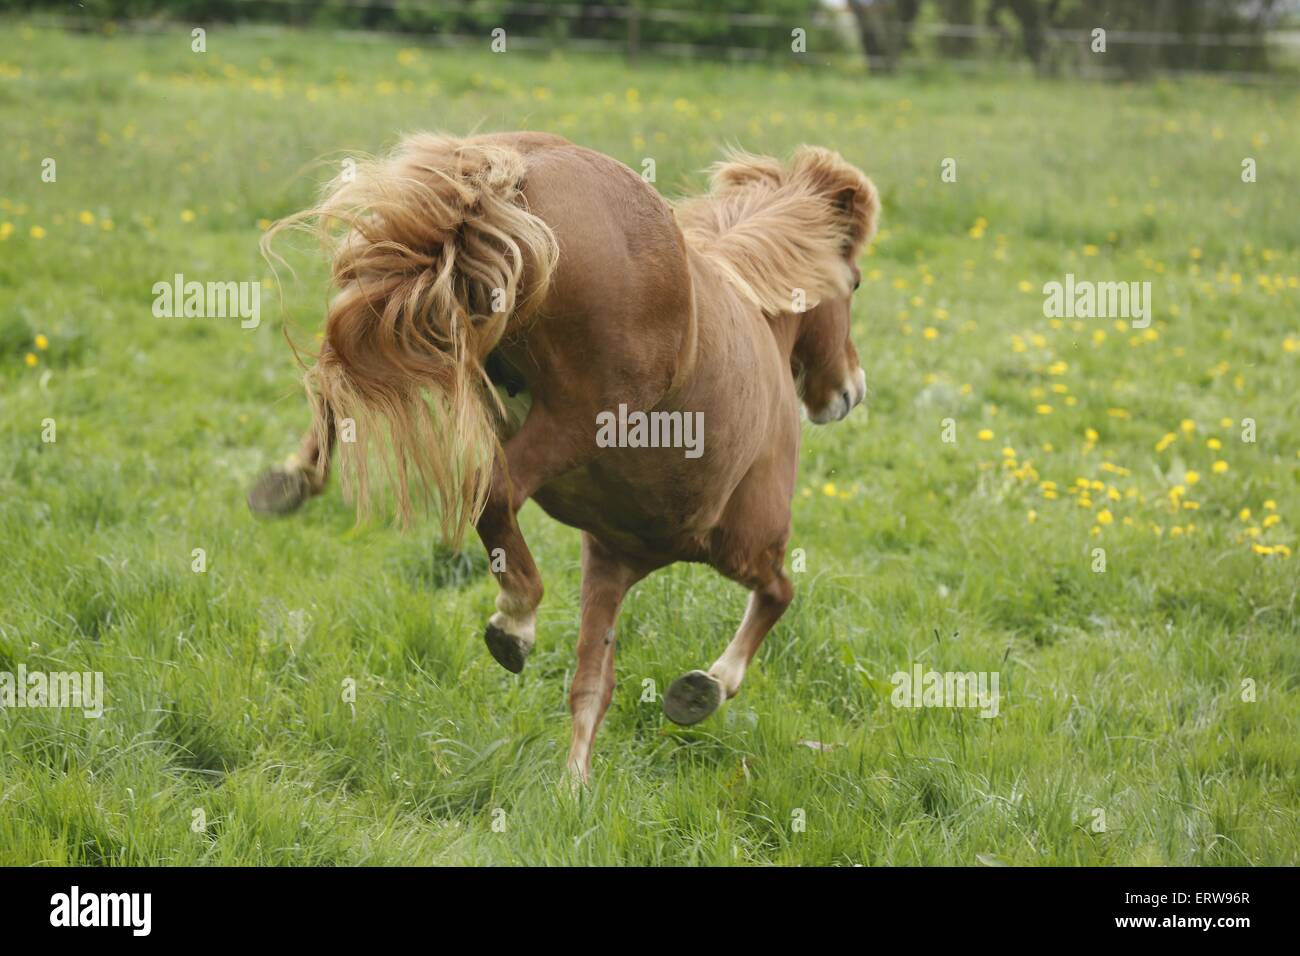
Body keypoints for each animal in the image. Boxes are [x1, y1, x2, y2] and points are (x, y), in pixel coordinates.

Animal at [249, 132, 877, 781]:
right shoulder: (747, 541)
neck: (755, 312)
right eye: (854, 283)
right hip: (578, 418)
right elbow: (780, 594)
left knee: (333, 375)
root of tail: (515, 167)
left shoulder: (611, 557)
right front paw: (705, 688)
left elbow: (592, 684)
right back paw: (516, 618)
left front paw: (574, 788)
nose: (850, 391)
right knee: (494, 492)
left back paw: (289, 480)